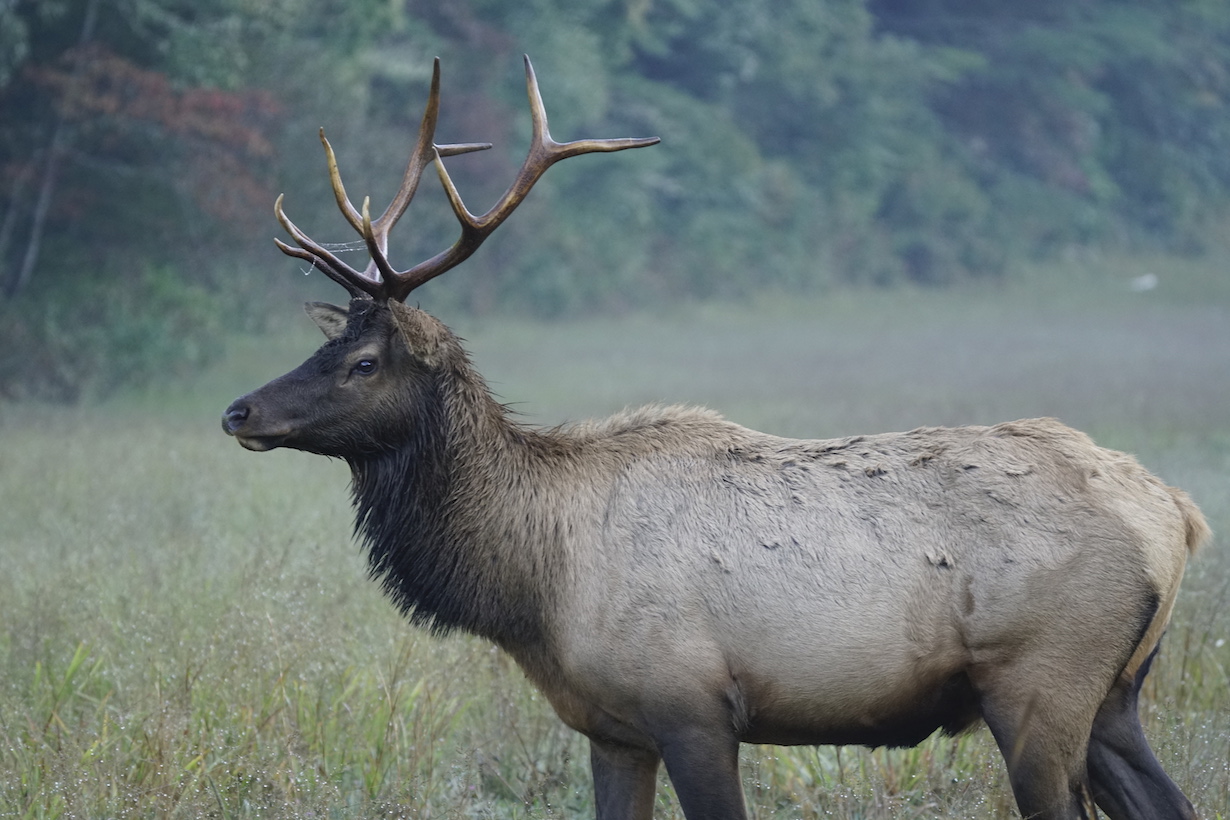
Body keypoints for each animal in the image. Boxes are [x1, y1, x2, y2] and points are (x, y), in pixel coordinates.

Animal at [222, 56, 1208, 820]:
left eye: (363, 363)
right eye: (325, 344)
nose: (239, 411)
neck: (534, 583)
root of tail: (1177, 515)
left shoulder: (691, 704)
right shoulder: (612, 728)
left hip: (1040, 680)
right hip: (1117, 695)